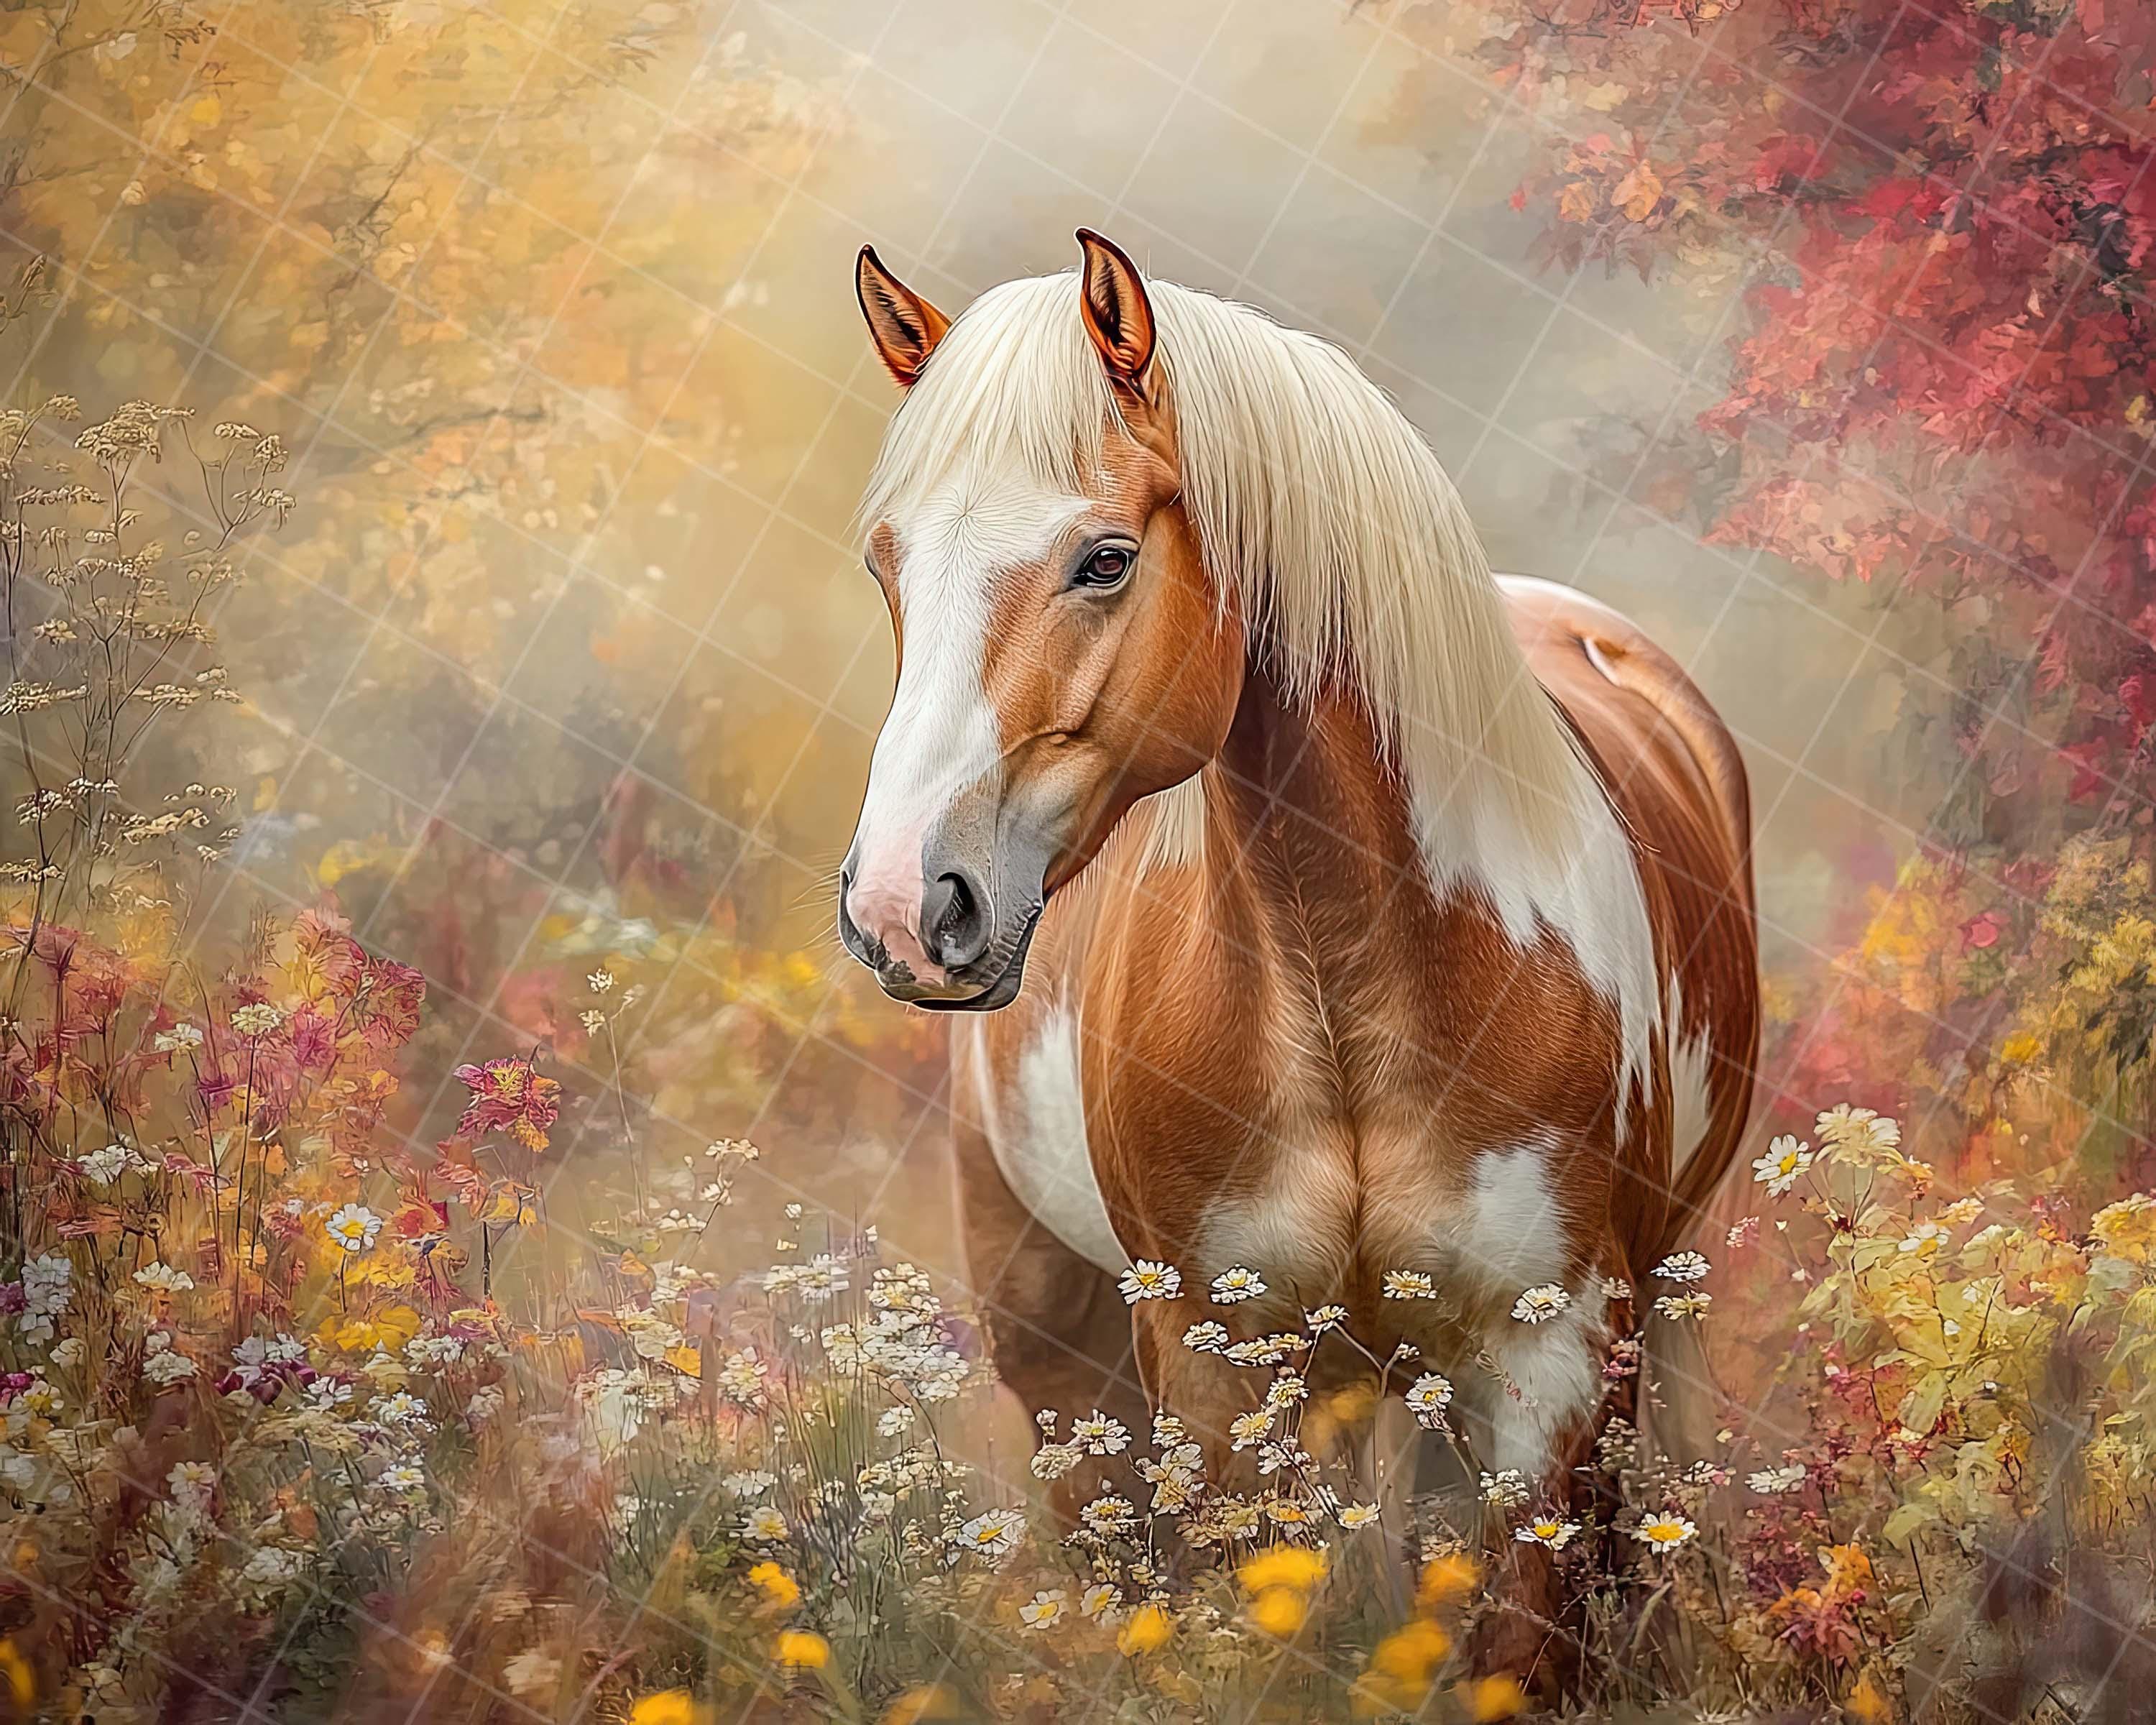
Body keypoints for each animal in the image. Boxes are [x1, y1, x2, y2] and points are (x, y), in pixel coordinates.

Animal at [835, 228, 1758, 1677]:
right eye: (888, 565)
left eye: (1106, 561)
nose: (901, 907)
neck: (1354, 981)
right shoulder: (1220, 1366)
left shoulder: (1548, 1367)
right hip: (1061, 1350)